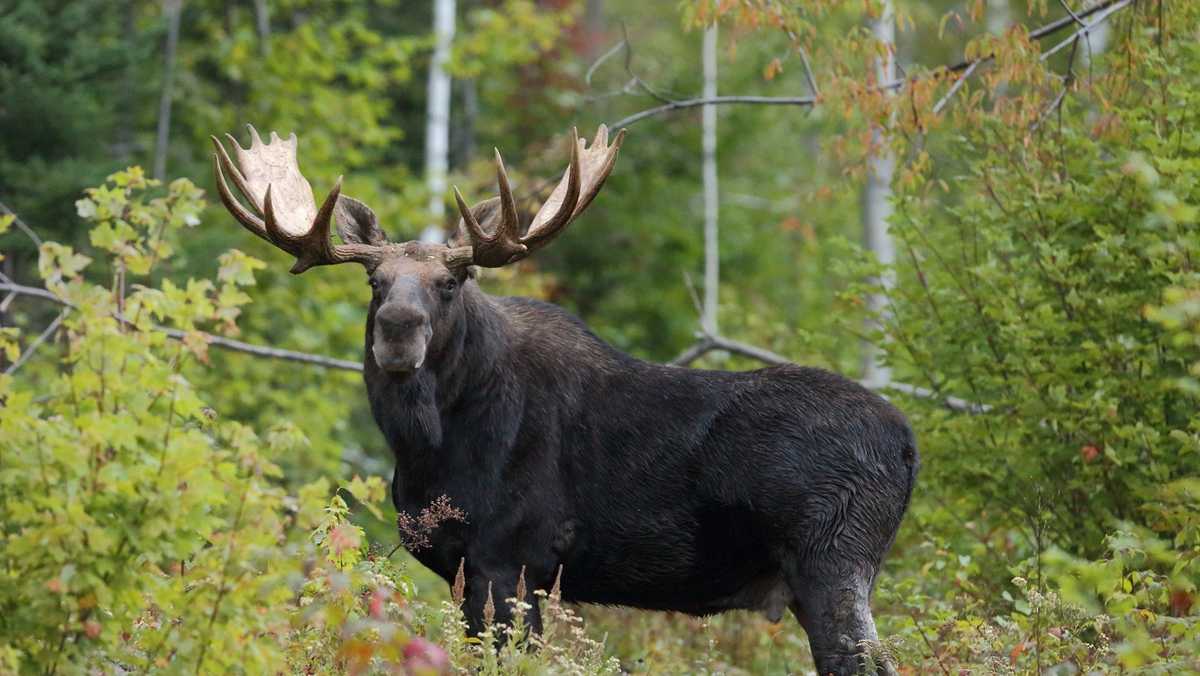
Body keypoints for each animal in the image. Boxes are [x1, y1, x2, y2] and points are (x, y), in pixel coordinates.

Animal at [211, 124, 918, 675]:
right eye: (374, 281)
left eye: (452, 281)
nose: (398, 328)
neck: (426, 450)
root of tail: (910, 448)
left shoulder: (512, 558)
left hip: (834, 559)